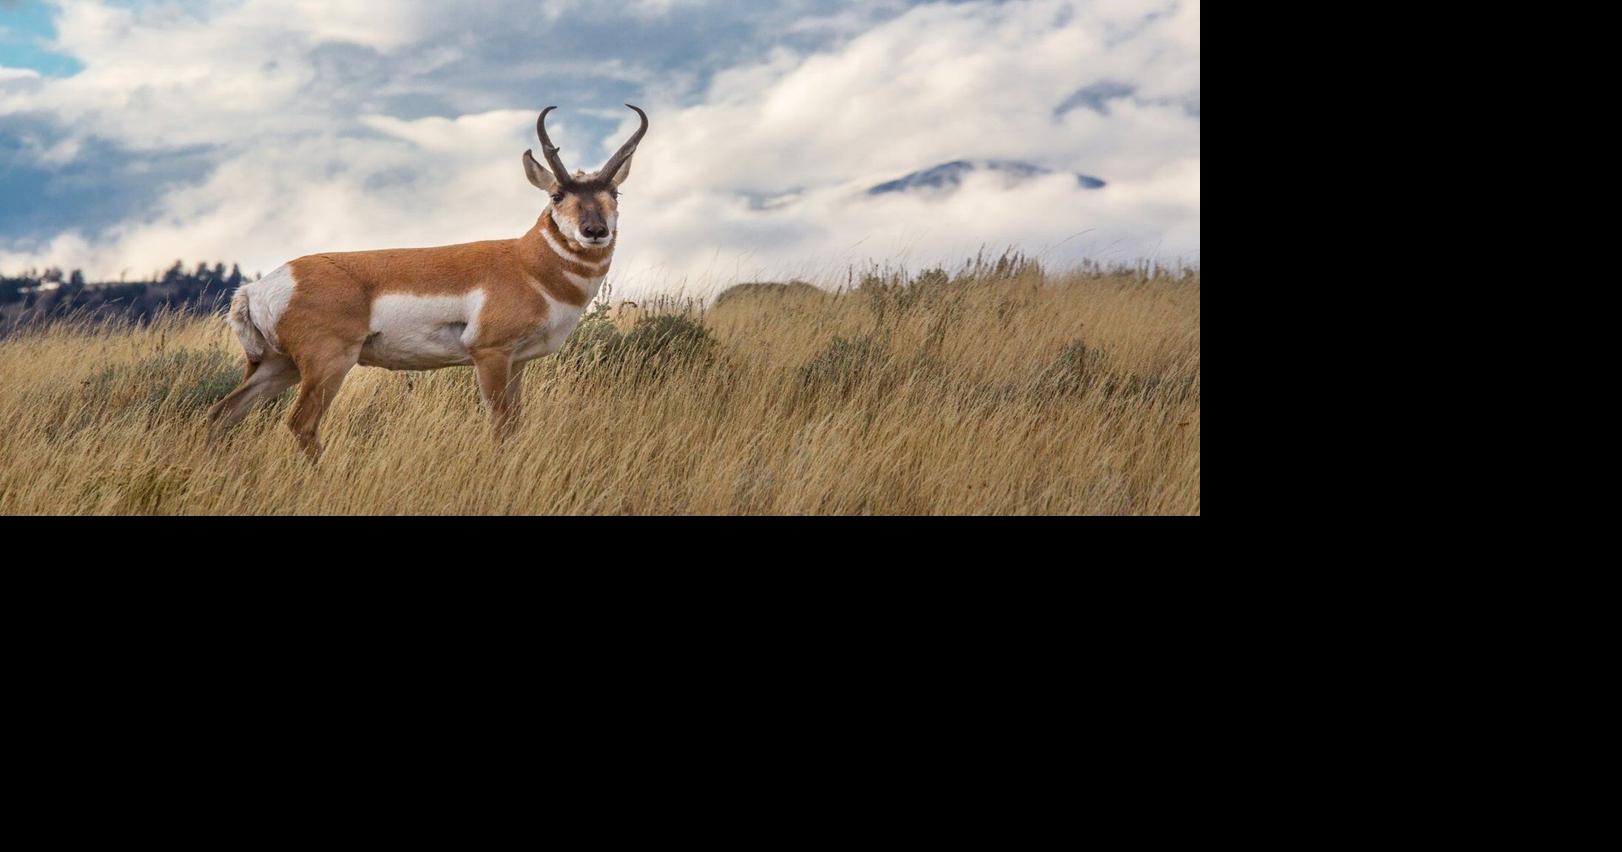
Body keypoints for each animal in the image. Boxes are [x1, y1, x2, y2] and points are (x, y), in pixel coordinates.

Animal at [206, 105, 648, 459]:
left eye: (615, 193)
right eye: (557, 195)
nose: (595, 231)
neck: (525, 263)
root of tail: (258, 288)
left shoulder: (517, 362)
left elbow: (515, 425)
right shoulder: (490, 354)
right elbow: (501, 427)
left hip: (278, 367)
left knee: (222, 413)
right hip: (327, 364)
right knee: (301, 423)